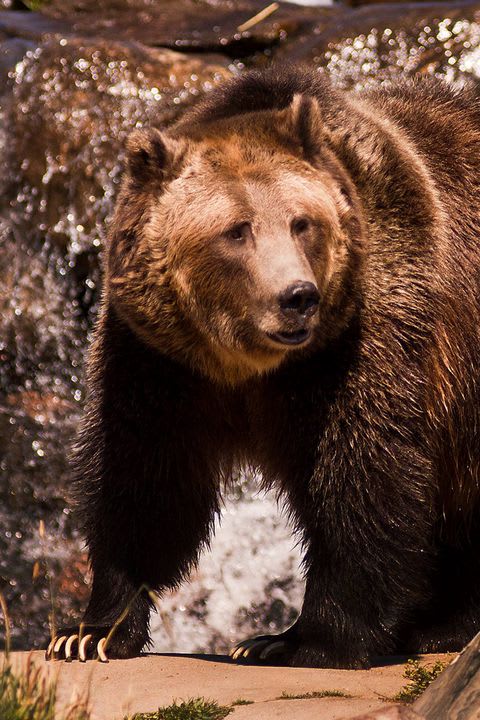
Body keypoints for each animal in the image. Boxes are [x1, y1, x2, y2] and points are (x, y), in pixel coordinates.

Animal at [46, 66, 480, 668]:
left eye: (302, 222)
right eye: (236, 229)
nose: (298, 297)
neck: (247, 363)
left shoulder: (364, 334)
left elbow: (360, 470)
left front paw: (300, 640)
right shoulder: (158, 360)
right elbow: (140, 476)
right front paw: (89, 632)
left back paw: (440, 628)